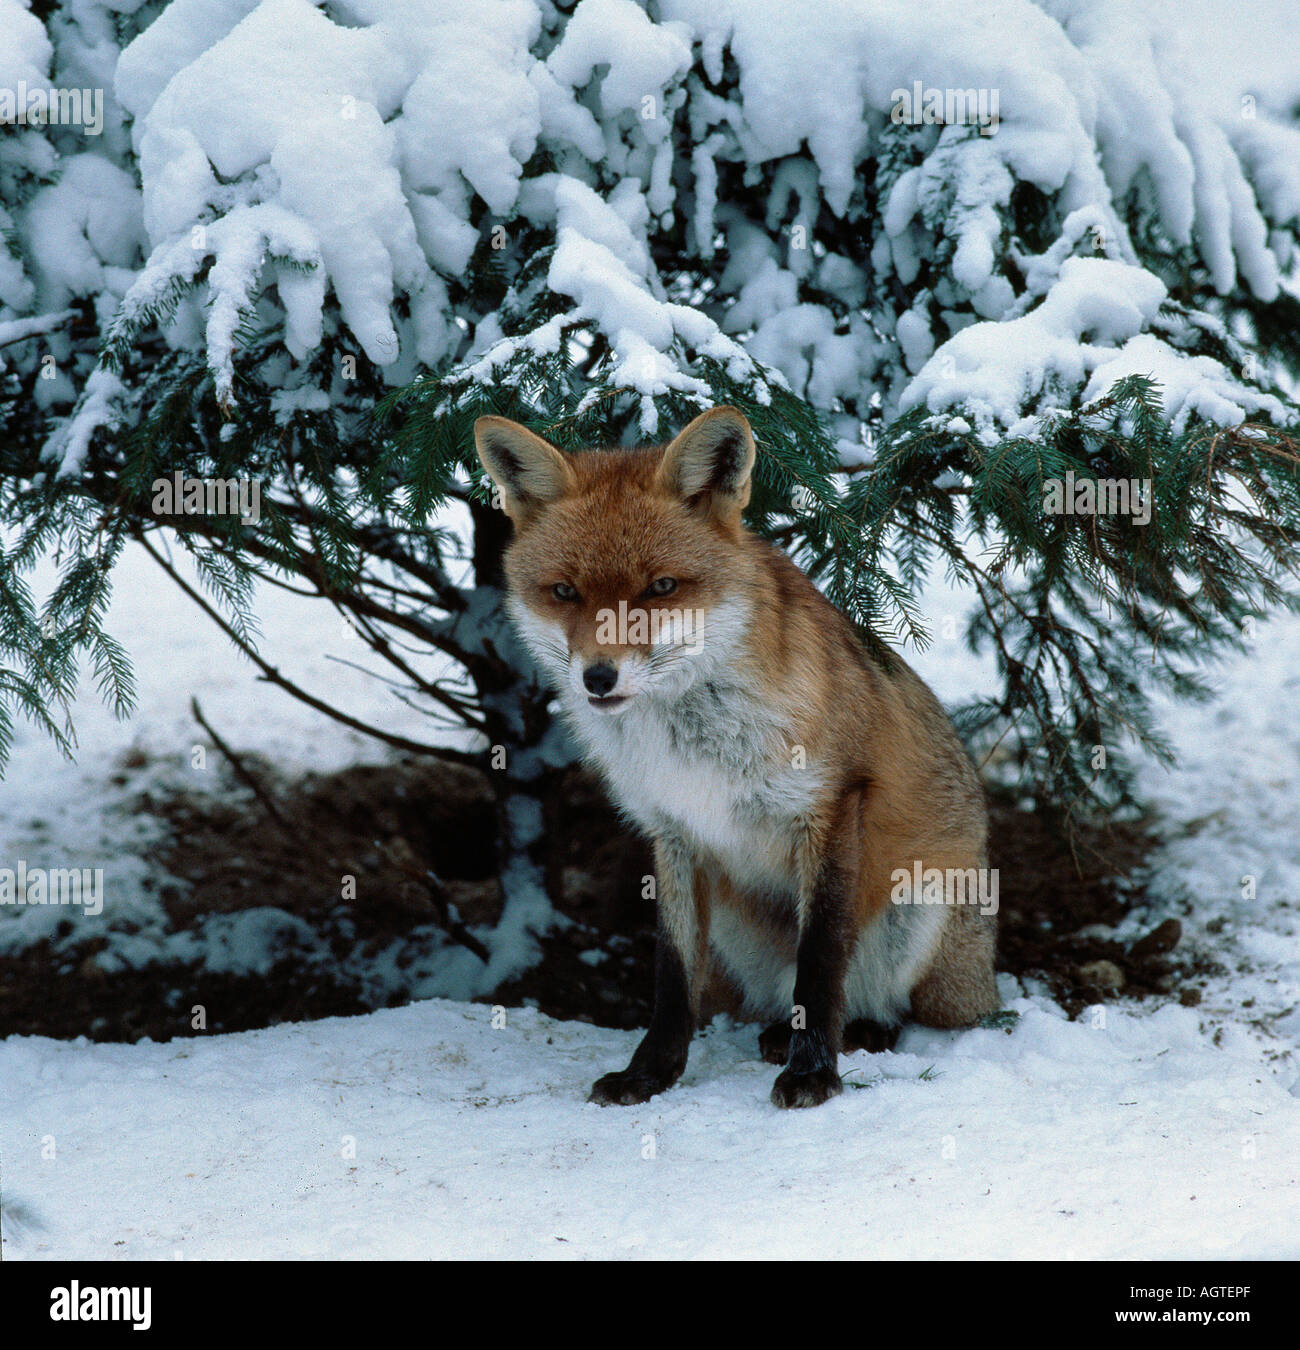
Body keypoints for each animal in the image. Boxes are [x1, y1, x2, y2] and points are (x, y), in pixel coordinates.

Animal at [475, 405, 998, 1109]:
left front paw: (813, 1074)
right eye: (563, 592)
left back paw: (861, 1031)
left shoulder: (829, 807)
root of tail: (986, 986)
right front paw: (652, 1074)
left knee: (900, 1011)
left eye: (661, 587)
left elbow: (820, 963)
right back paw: (777, 1033)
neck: (690, 742)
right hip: (734, 923)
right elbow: (673, 977)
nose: (598, 679)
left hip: (922, 898)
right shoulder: (673, 831)